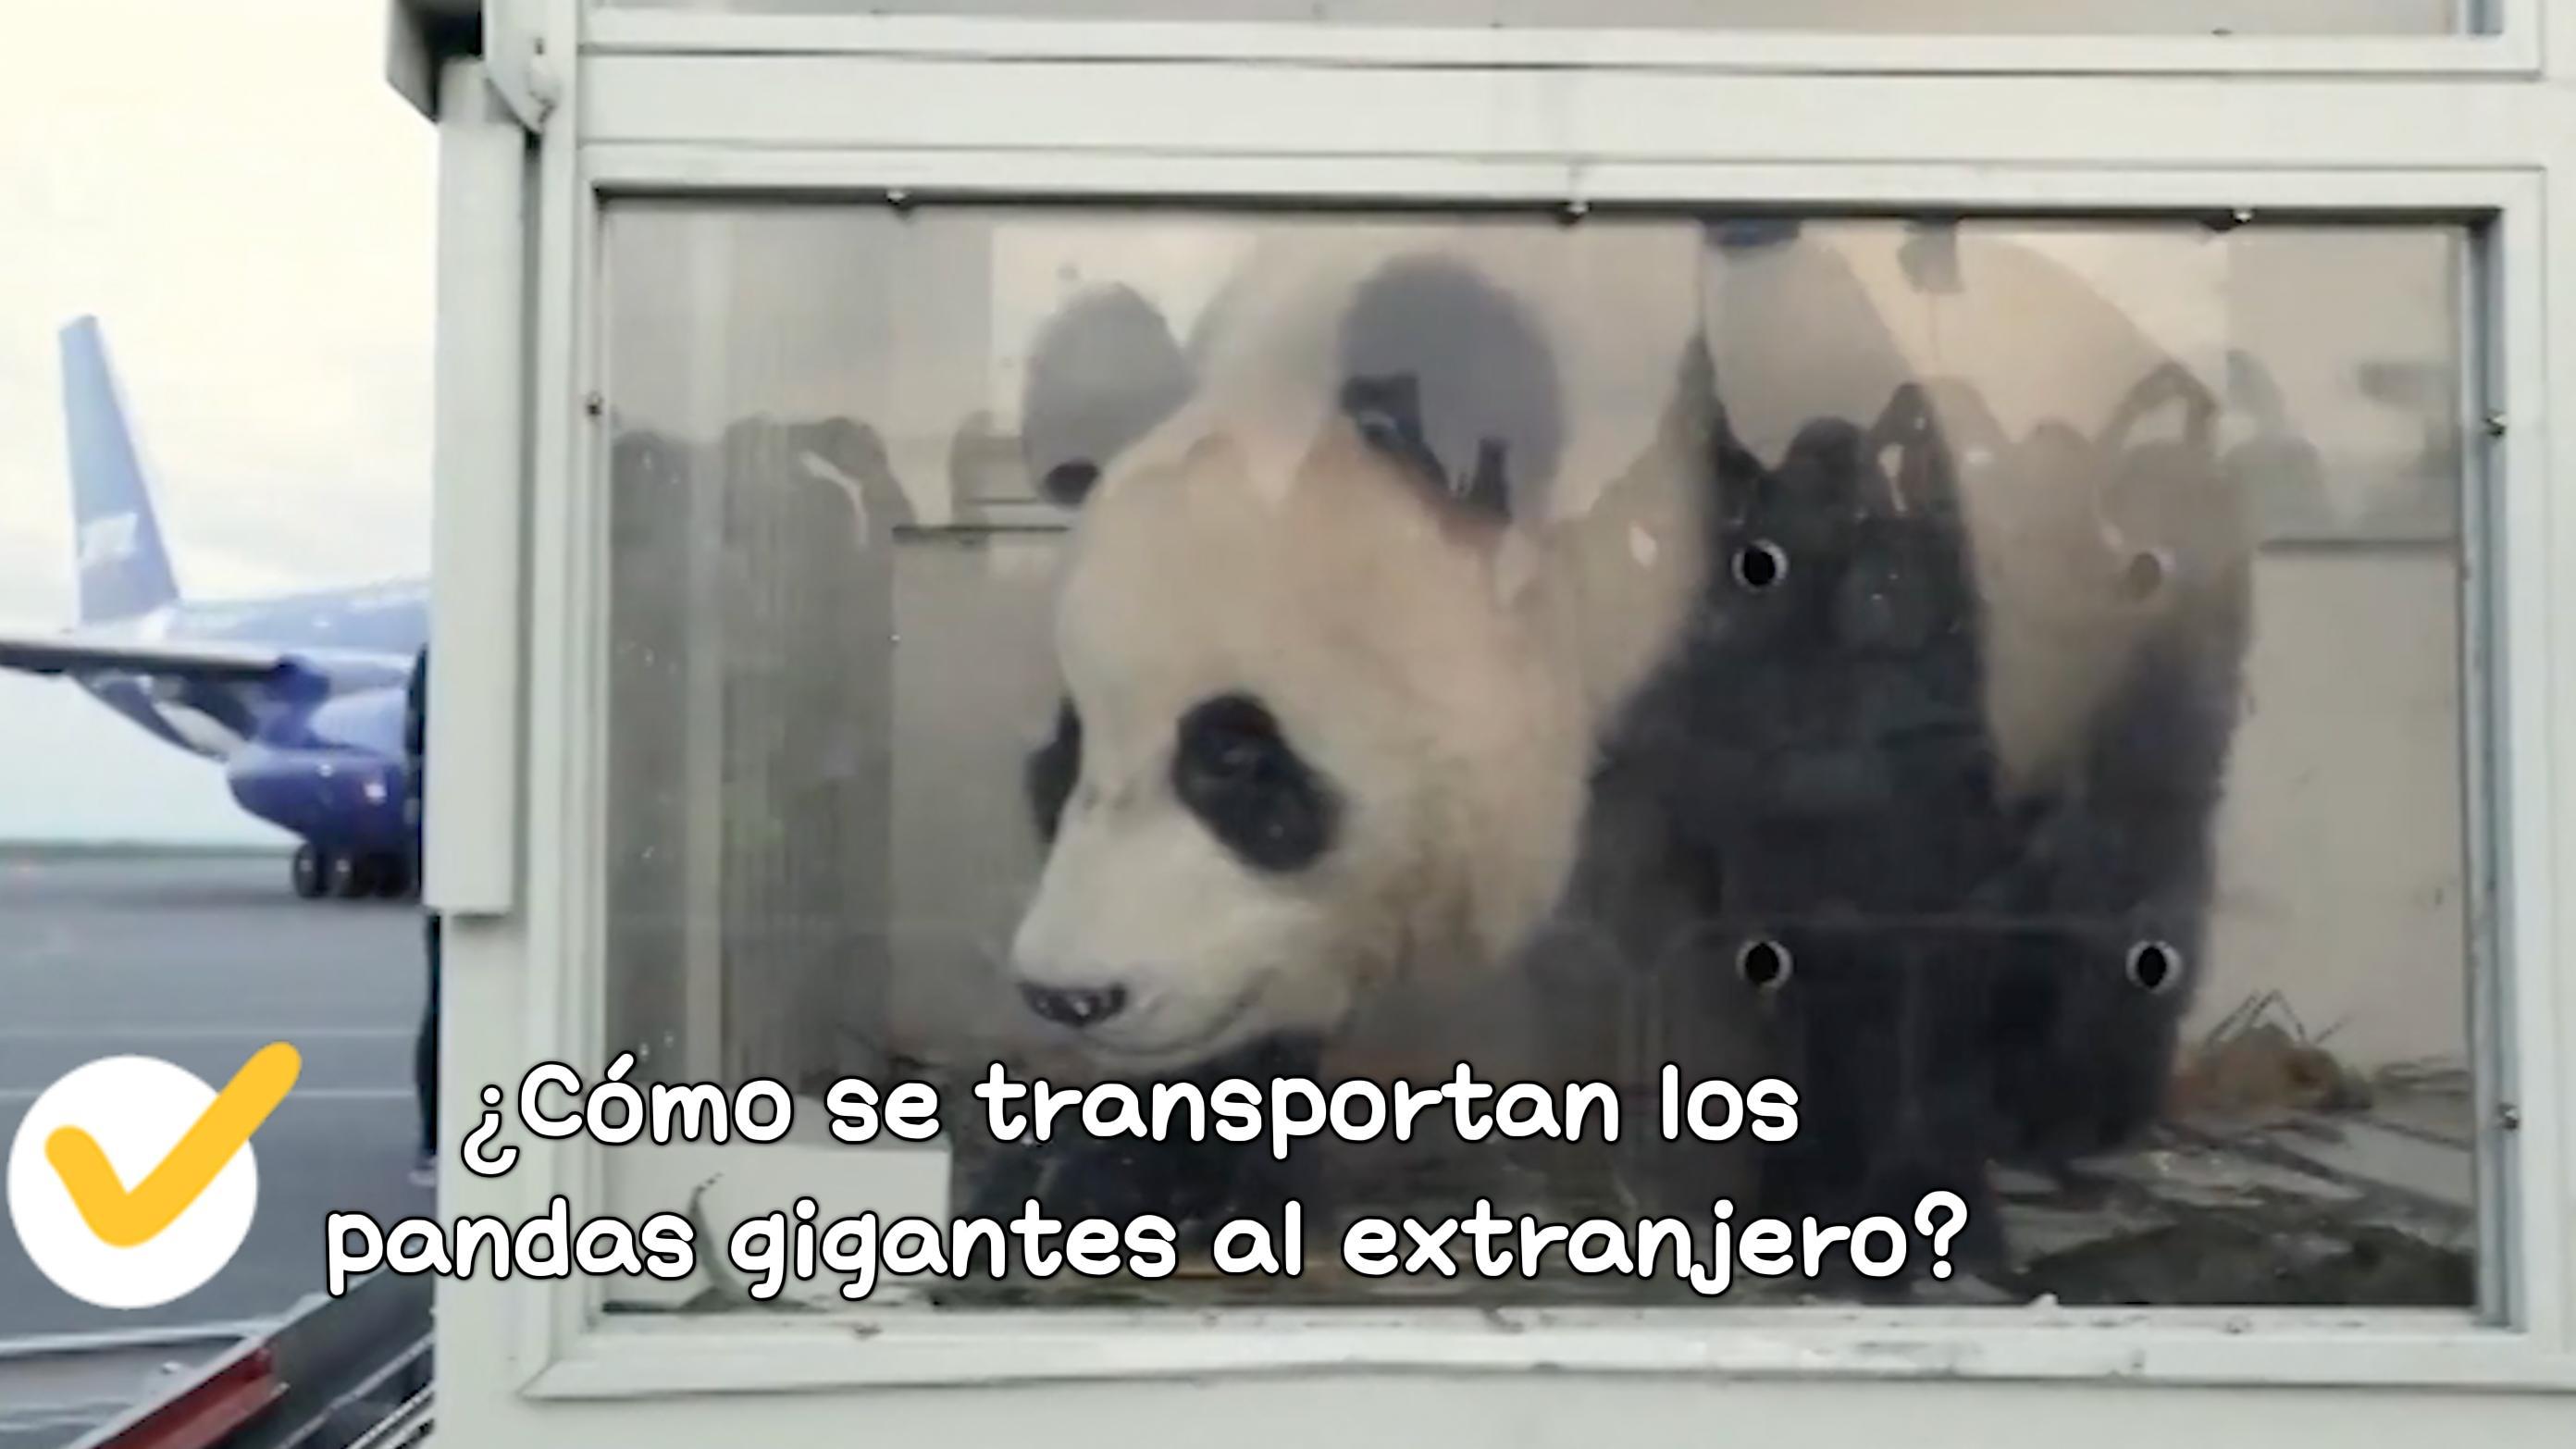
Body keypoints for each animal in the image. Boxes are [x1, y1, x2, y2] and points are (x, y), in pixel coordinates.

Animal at [970, 218, 2255, 1288]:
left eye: (1239, 763)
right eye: (1063, 758)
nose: (1070, 993)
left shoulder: (1816, 555)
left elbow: (1867, 882)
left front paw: (1880, 1220)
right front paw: (1132, 1176)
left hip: (2131, 606)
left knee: (2121, 854)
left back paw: (2068, 1107)